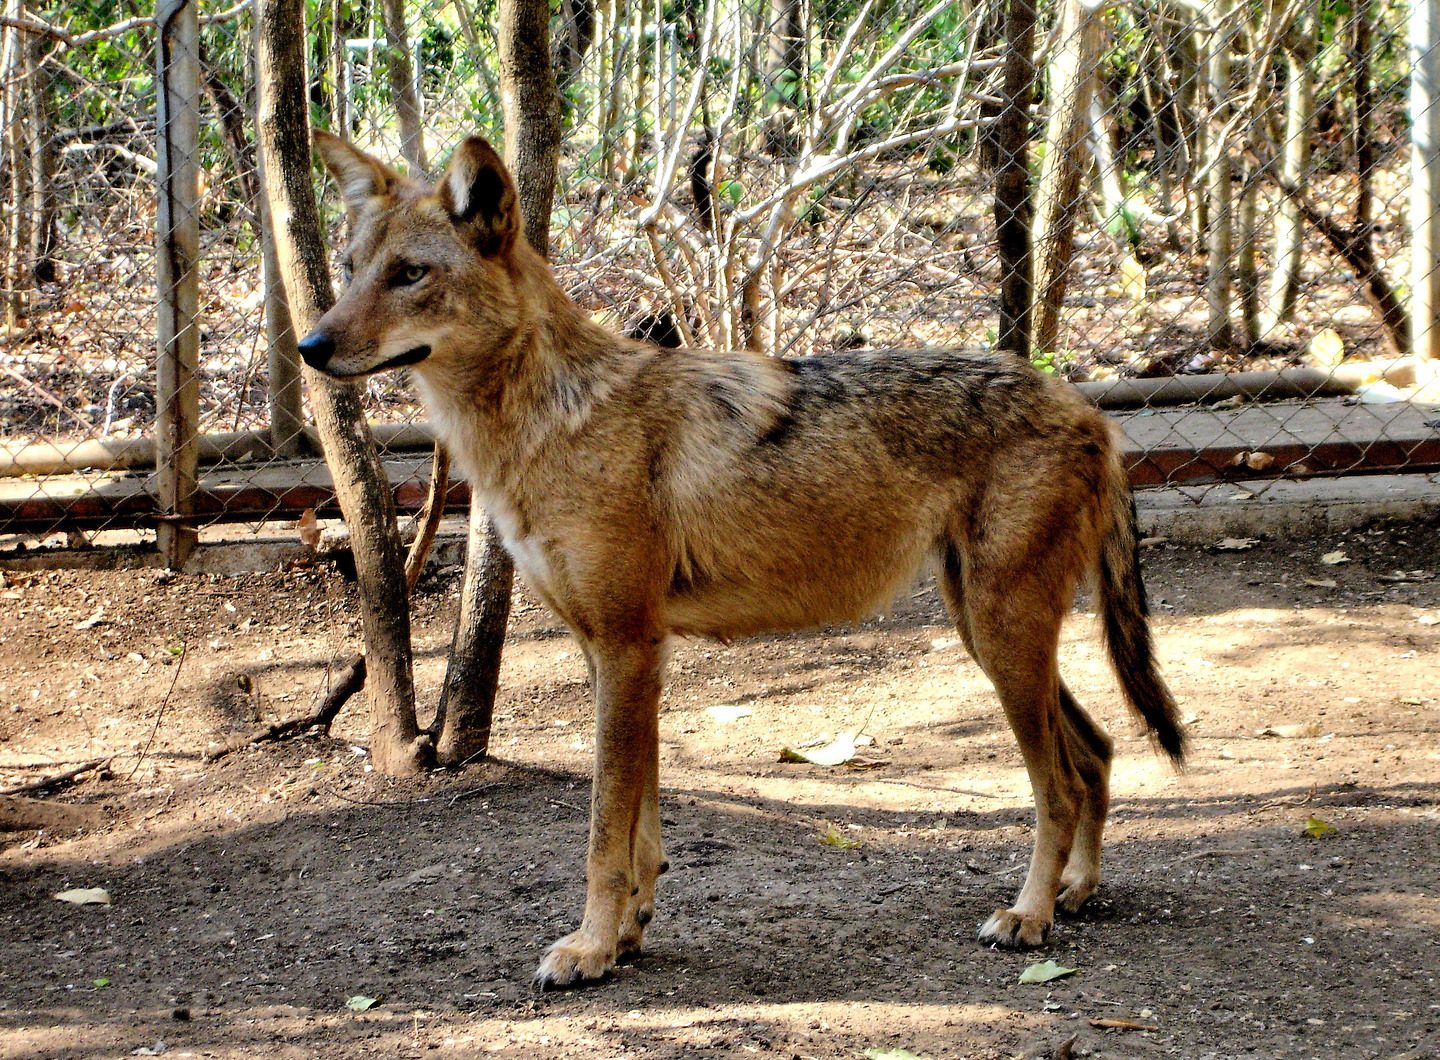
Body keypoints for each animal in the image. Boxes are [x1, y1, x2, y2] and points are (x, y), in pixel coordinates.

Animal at [301, 131, 1186, 989]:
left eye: (410, 274)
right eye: (349, 269)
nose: (309, 344)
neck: (552, 420)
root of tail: (1090, 410)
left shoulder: (628, 648)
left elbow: (602, 835)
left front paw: (587, 951)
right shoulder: (614, 652)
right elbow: (641, 828)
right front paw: (627, 936)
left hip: (1003, 639)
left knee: (1060, 783)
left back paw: (1028, 915)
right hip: (990, 633)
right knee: (1099, 751)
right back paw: (1076, 893)